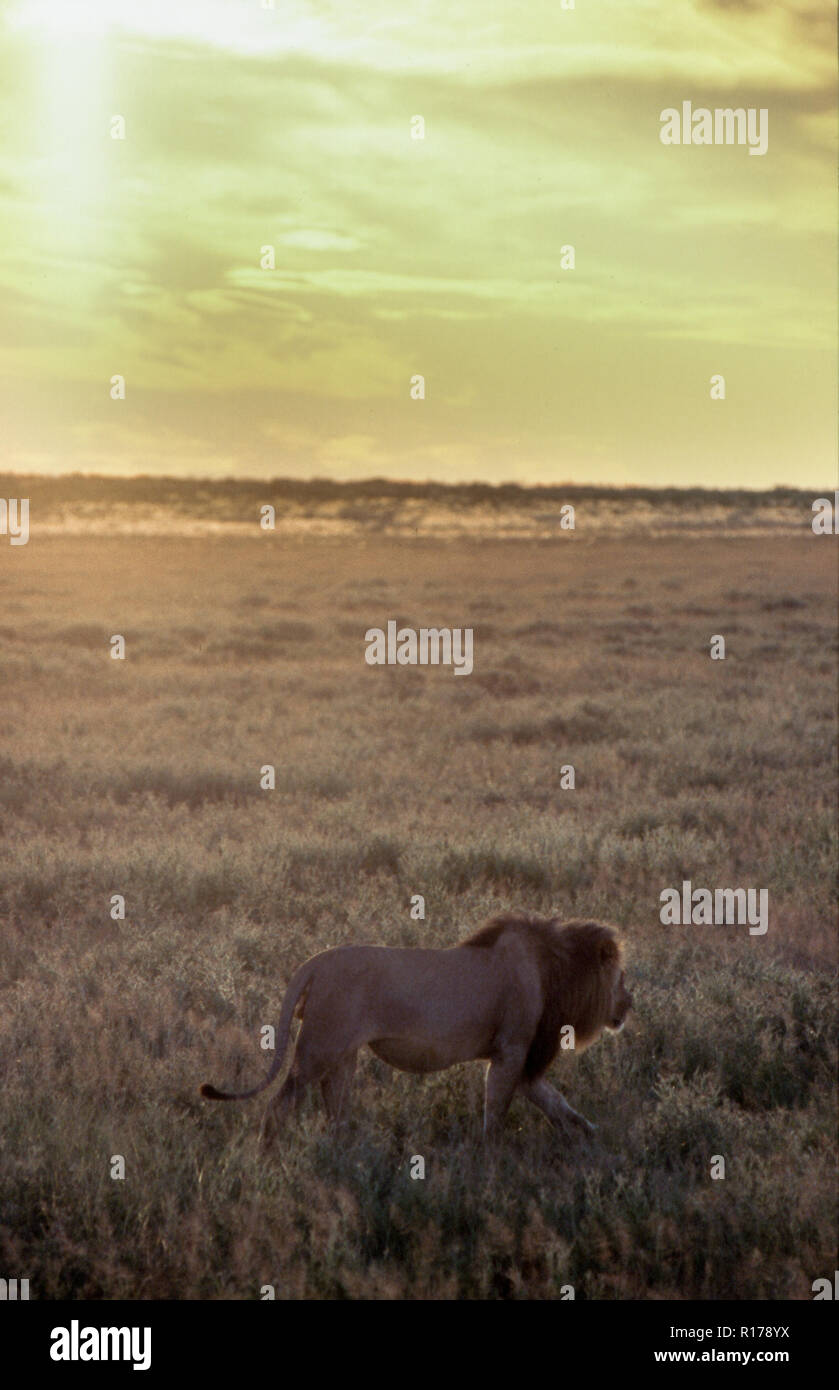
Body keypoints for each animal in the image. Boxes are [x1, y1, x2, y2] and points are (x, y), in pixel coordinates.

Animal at [200, 913, 632, 1141]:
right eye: (622, 978)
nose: (630, 1005)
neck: (556, 970)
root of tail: (315, 962)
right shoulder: (512, 1051)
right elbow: (496, 1112)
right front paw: (490, 1159)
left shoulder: (523, 1059)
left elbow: (557, 1103)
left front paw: (592, 1135)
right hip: (318, 1049)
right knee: (279, 1105)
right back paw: (267, 1157)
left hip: (342, 1056)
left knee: (334, 1109)